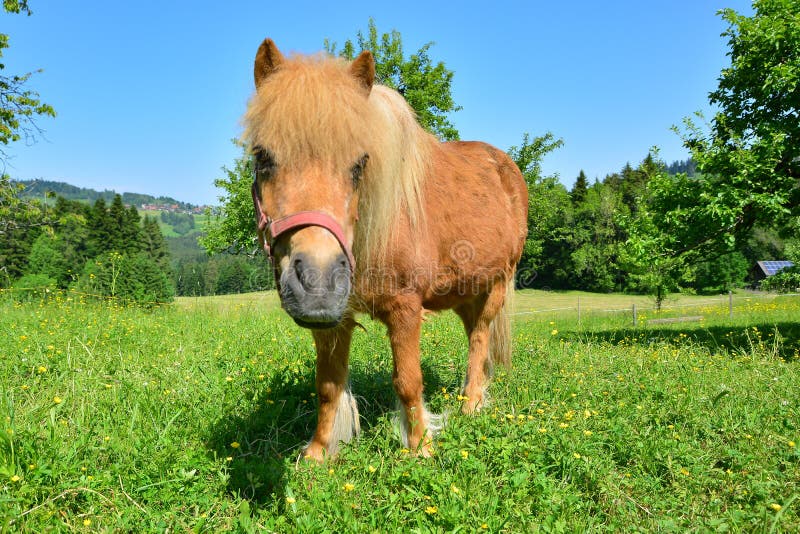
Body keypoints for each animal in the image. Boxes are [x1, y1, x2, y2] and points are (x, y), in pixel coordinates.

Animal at [245, 39, 528, 461]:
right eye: (262, 157)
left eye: (360, 164)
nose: (317, 282)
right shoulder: (335, 318)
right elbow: (328, 386)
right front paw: (317, 453)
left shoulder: (406, 309)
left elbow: (408, 381)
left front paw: (420, 447)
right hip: (465, 291)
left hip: (496, 284)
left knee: (480, 338)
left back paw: (472, 405)